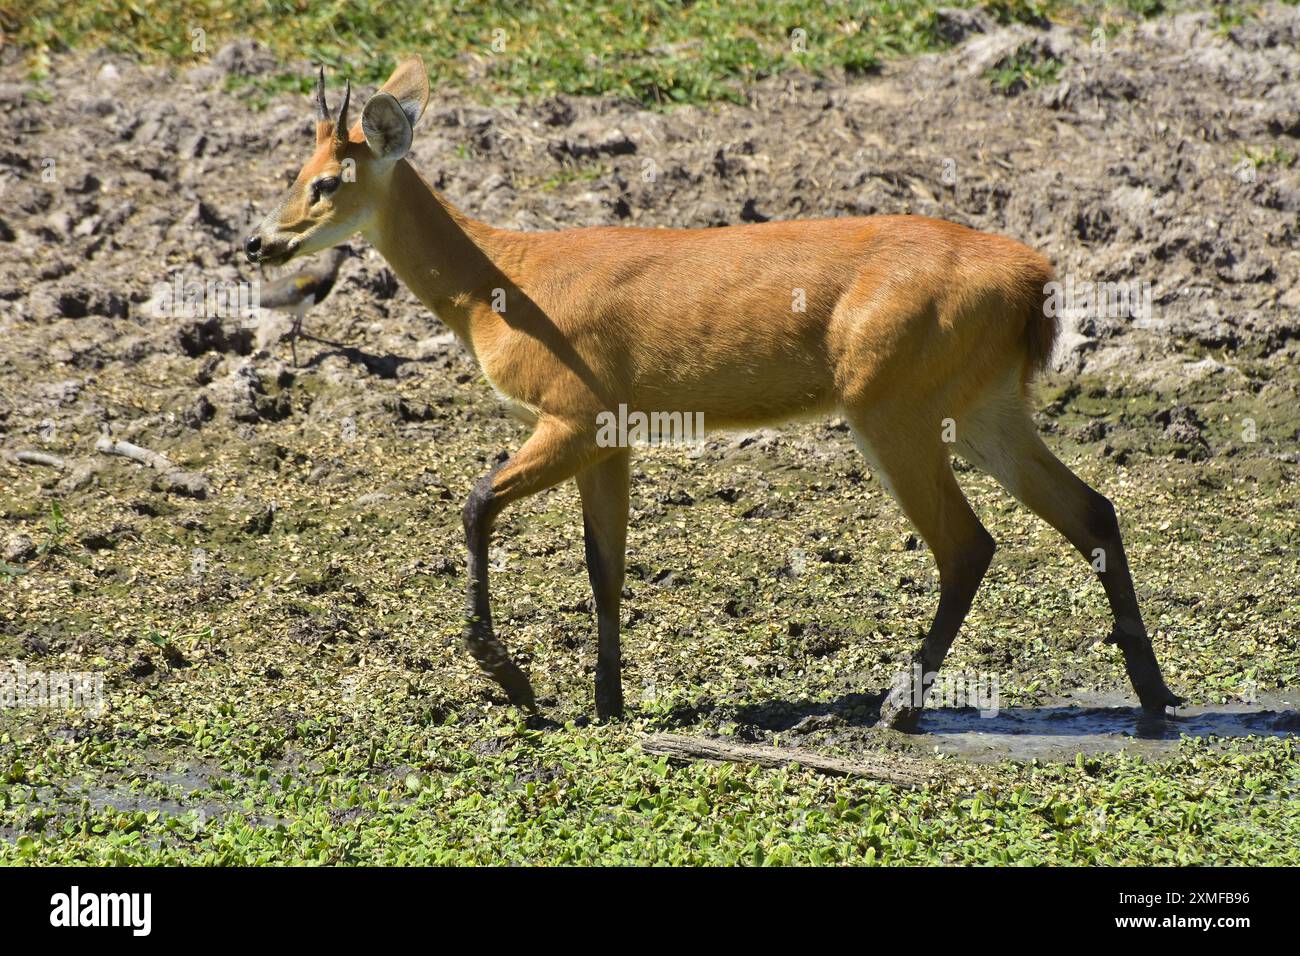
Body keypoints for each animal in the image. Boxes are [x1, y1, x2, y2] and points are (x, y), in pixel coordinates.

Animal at [242, 58, 1183, 730]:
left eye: (328, 178)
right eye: (298, 166)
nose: (261, 241)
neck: (504, 284)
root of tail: (1035, 276)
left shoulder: (573, 416)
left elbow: (475, 504)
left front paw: (513, 682)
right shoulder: (612, 438)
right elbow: (605, 568)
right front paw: (607, 705)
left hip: (891, 409)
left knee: (968, 545)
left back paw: (896, 708)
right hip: (984, 408)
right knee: (1092, 510)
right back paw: (1156, 700)